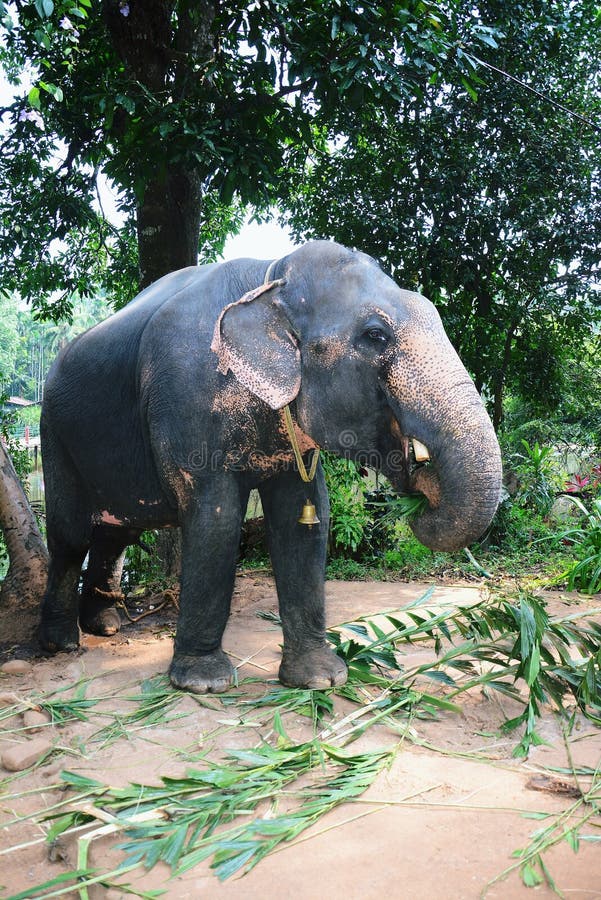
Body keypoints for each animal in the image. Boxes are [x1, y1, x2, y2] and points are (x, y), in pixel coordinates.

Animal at [39, 240, 502, 692]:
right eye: (375, 335)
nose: (420, 492)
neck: (271, 275)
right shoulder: (186, 400)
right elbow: (217, 519)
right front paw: (204, 682)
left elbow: (304, 515)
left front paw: (320, 678)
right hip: (53, 434)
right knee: (71, 533)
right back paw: (61, 643)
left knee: (119, 530)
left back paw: (106, 626)